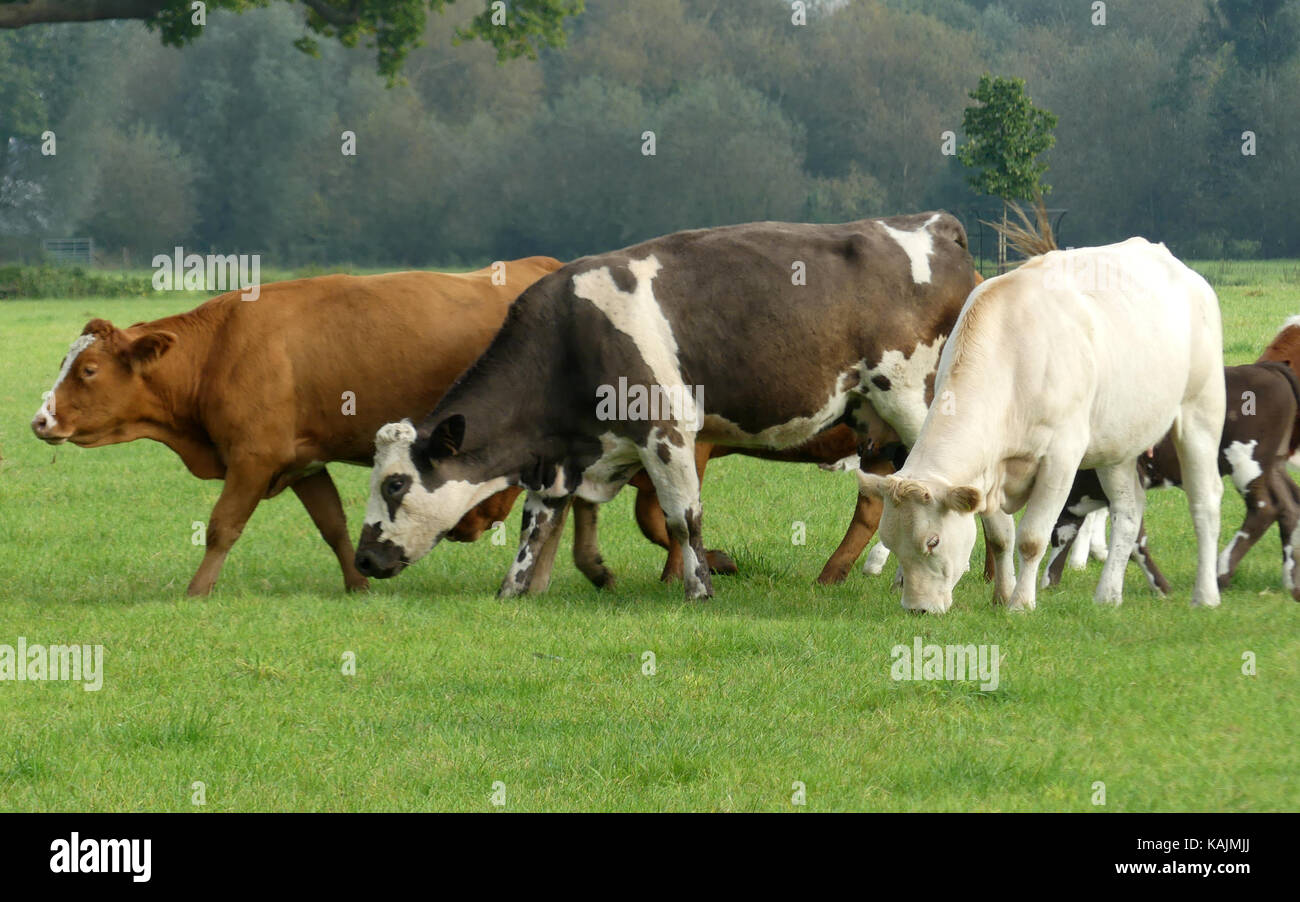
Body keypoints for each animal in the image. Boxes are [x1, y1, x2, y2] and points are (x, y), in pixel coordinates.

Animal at [30, 260, 563, 595]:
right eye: (65, 364)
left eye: (88, 370)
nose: (40, 420)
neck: (217, 349)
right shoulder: (304, 463)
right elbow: (334, 526)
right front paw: (357, 585)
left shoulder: (252, 458)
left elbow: (222, 527)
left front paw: (197, 590)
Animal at [352, 212, 1000, 600]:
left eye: (394, 484)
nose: (363, 558)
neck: (570, 334)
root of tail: (930, 225)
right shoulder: (563, 455)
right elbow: (536, 525)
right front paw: (512, 592)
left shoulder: (665, 432)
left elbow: (683, 517)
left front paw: (699, 589)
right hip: (877, 422)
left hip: (916, 403)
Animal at [860, 238, 1225, 613]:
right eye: (890, 541)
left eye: (932, 541)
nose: (917, 608)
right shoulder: (988, 469)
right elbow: (1001, 537)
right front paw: (1002, 595)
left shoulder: (1060, 459)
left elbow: (1032, 538)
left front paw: (1021, 603)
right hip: (1117, 445)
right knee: (1128, 511)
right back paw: (1108, 594)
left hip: (1201, 412)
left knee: (1205, 501)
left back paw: (1205, 594)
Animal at [1043, 362, 1300, 600]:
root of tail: (1264, 368)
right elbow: (1064, 532)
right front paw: (1049, 583)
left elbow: (1135, 539)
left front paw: (1161, 589)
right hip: (1272, 466)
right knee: (1289, 505)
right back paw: (1290, 581)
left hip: (1246, 461)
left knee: (1265, 508)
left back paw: (1220, 572)